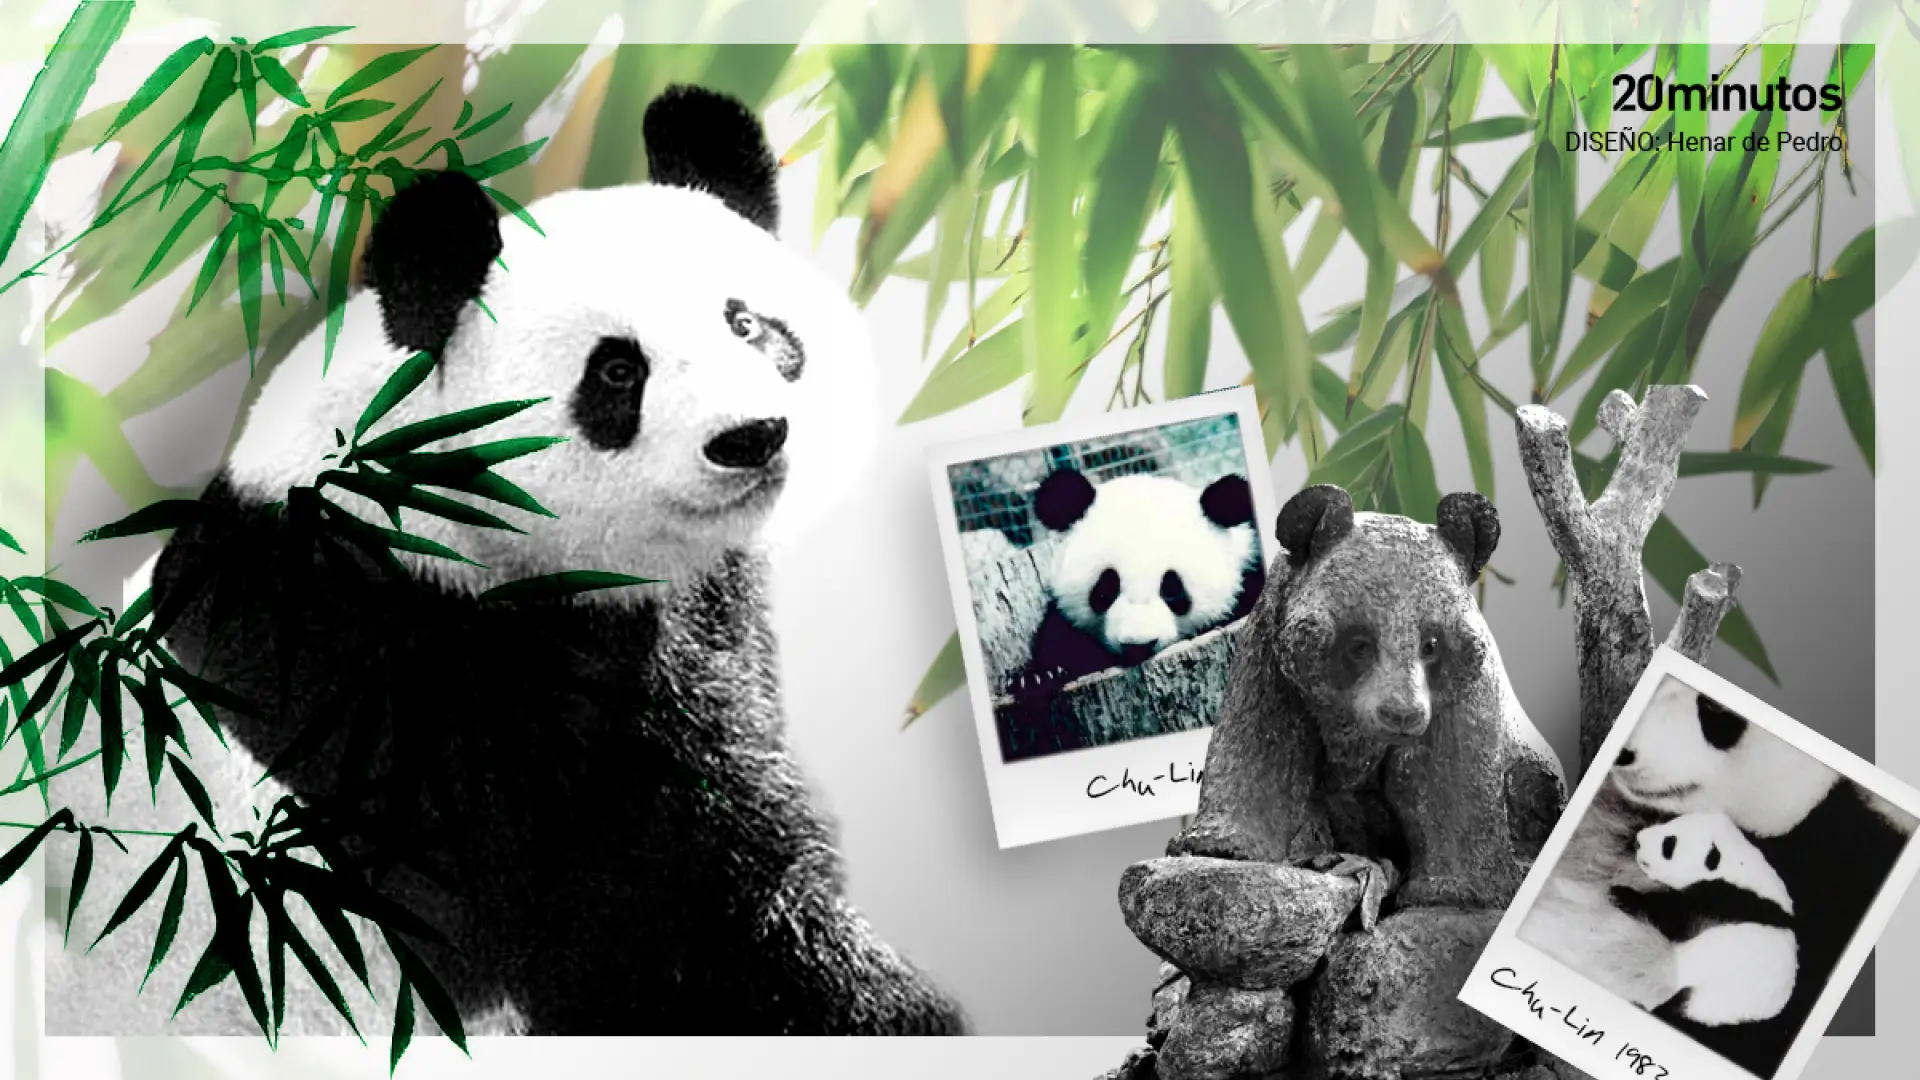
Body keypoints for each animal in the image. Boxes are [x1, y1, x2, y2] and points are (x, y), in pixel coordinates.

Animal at [1608, 812, 1798, 1032]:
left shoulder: (1720, 900)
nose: (1639, 840)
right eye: (1669, 821)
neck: (1736, 863)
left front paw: (1622, 895)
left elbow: (1674, 918)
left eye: (1668, 845)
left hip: (1715, 999)